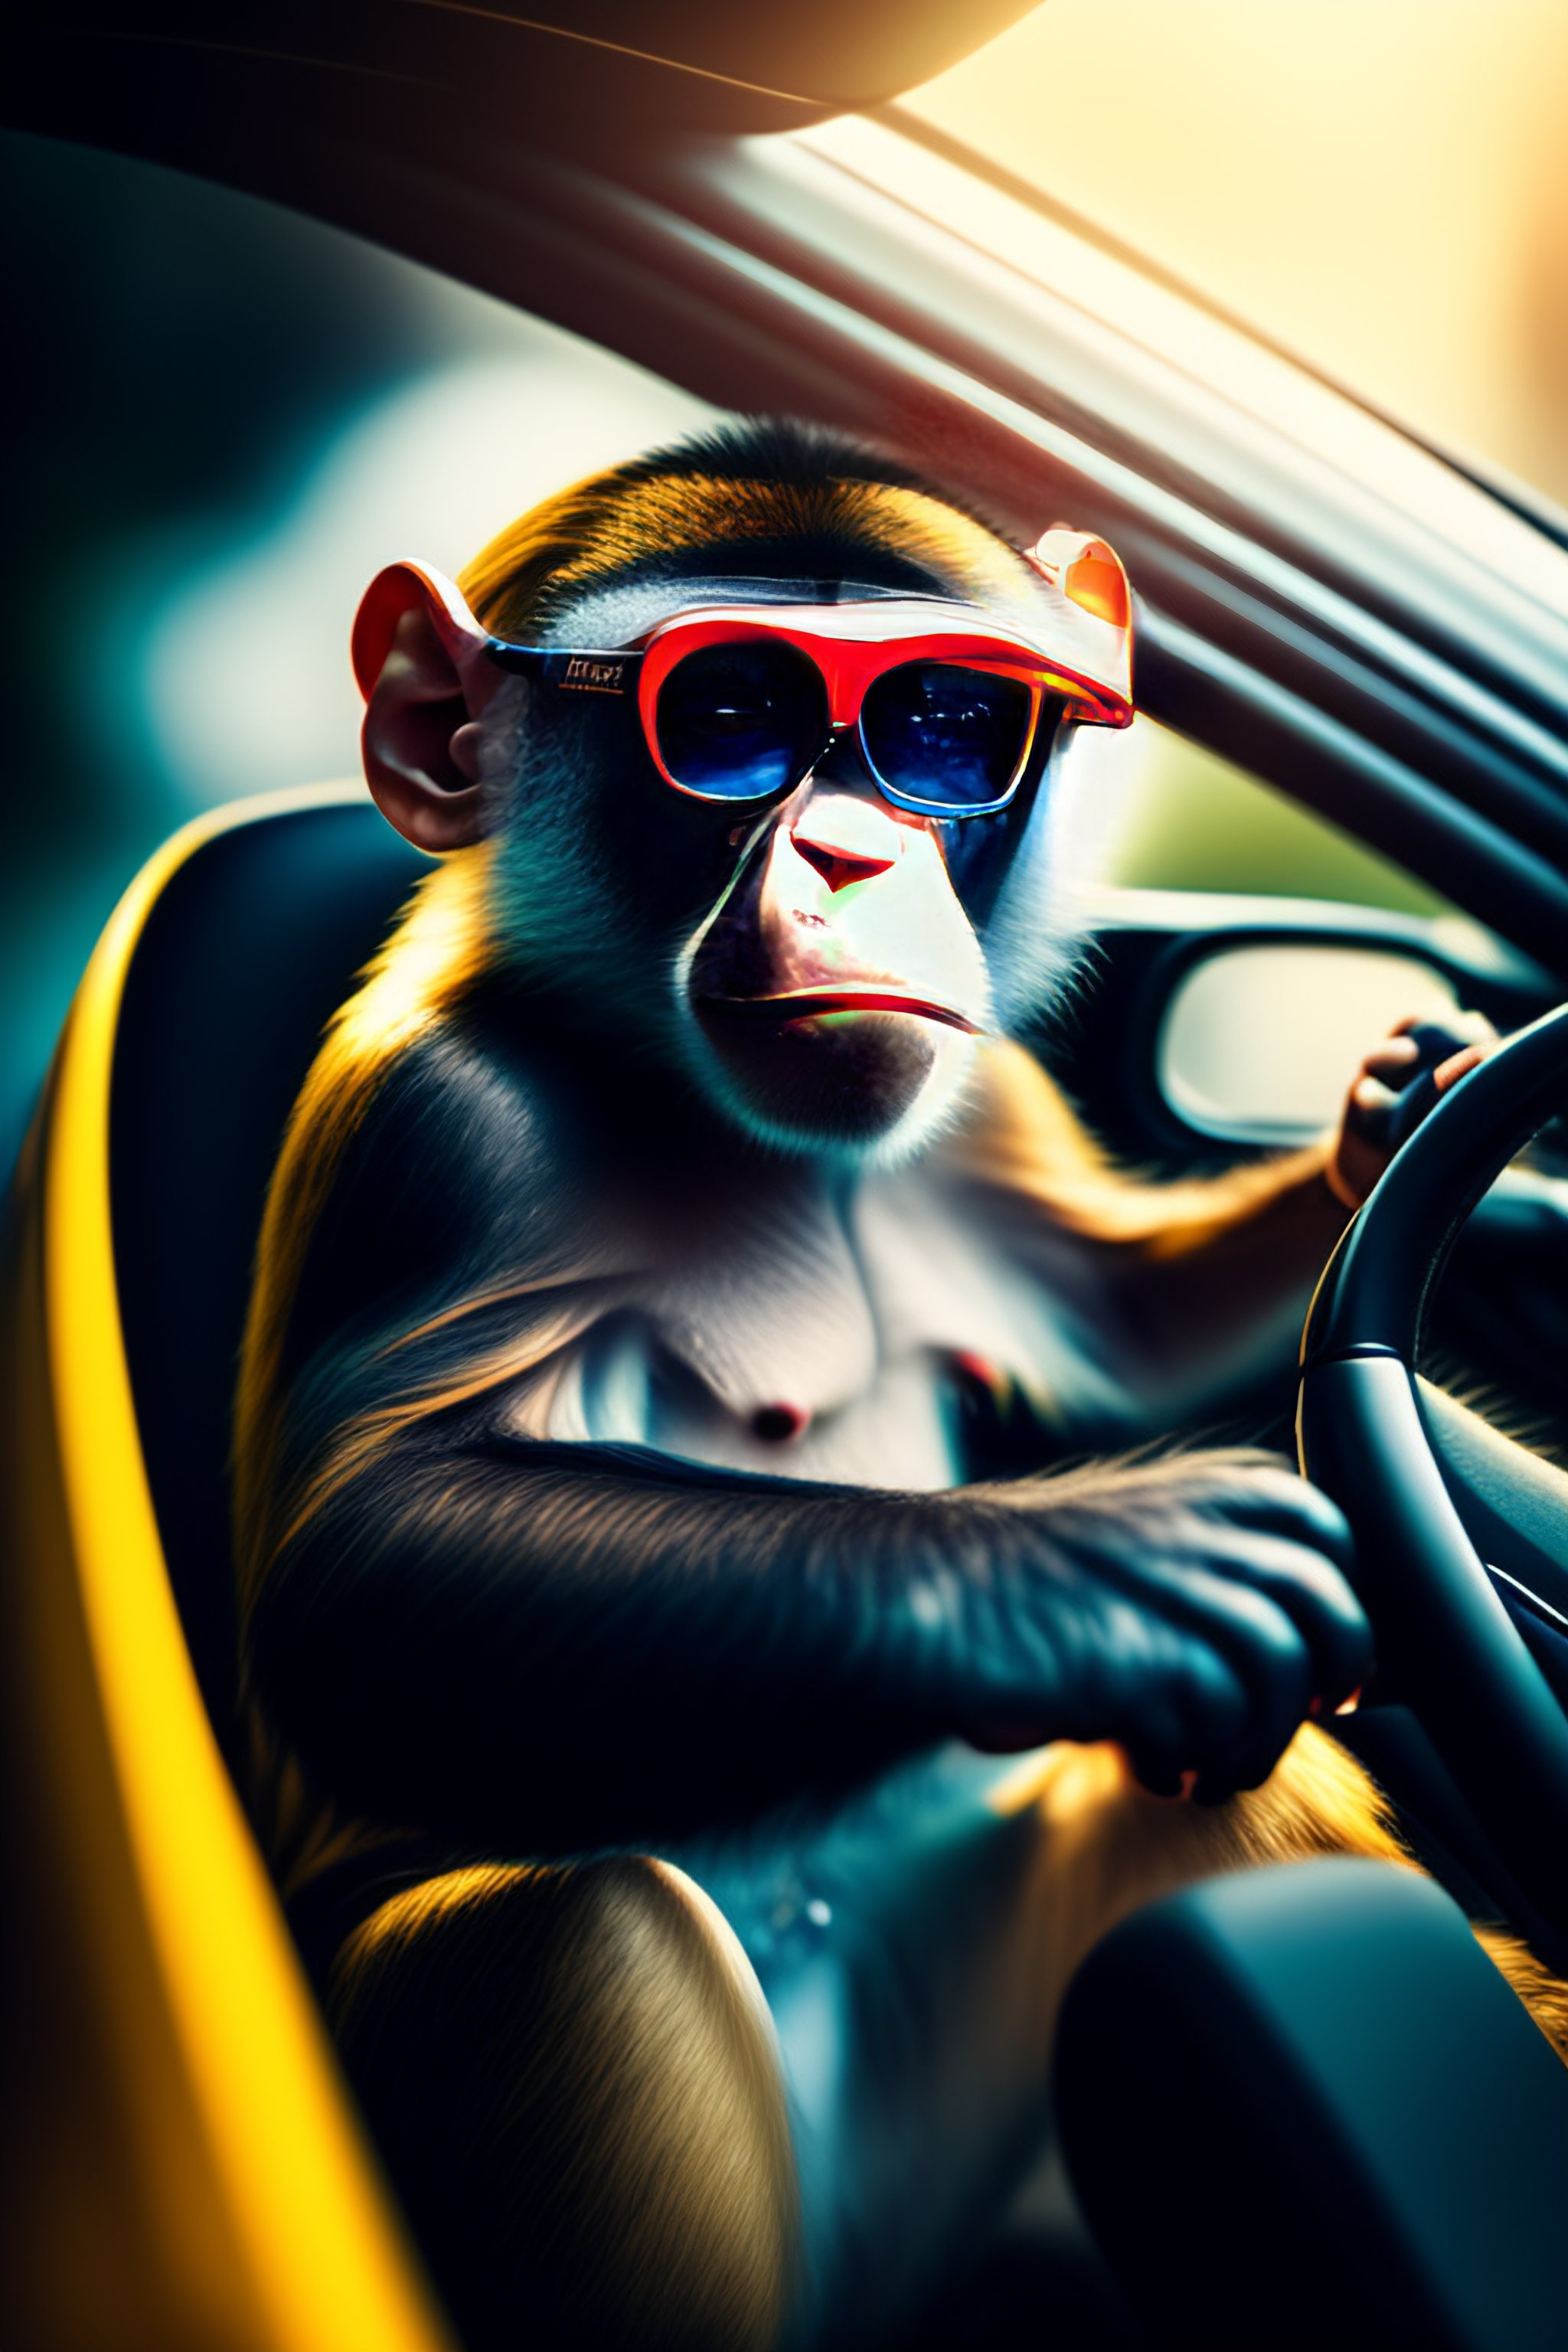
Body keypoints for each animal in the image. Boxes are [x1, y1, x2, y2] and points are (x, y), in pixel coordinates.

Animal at [232, 420, 1568, 2352]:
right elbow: (357, 1559)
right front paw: (1098, 1568)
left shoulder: (984, 1099)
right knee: (583, 1941)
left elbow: (1130, 1310)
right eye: (729, 712)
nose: (858, 851)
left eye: (950, 723)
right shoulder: (445, 1134)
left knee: (1239, 1800)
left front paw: (1408, 1113)